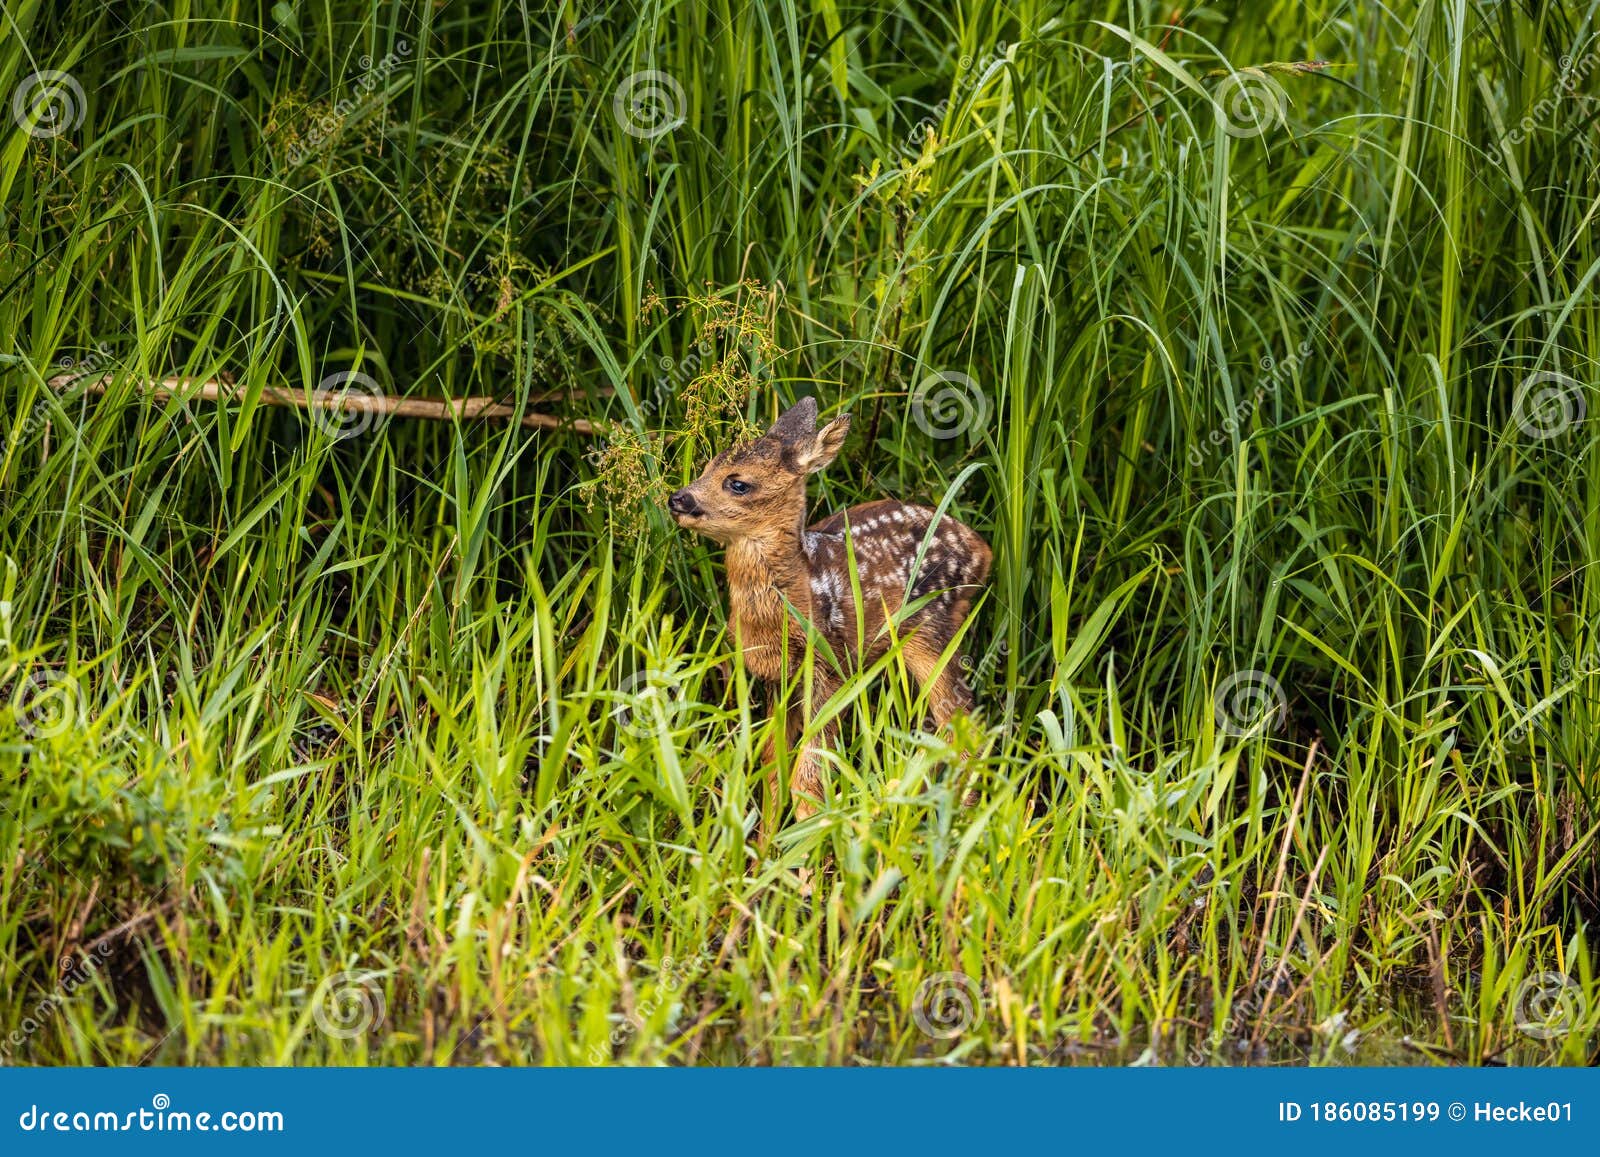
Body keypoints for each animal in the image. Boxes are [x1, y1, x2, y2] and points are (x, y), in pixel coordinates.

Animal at [667, 396, 991, 819]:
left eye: (737, 482)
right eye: (706, 466)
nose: (677, 499)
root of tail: (984, 551)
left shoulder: (832, 667)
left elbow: (808, 781)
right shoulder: (778, 677)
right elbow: (773, 770)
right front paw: (766, 836)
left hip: (932, 629)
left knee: (963, 724)